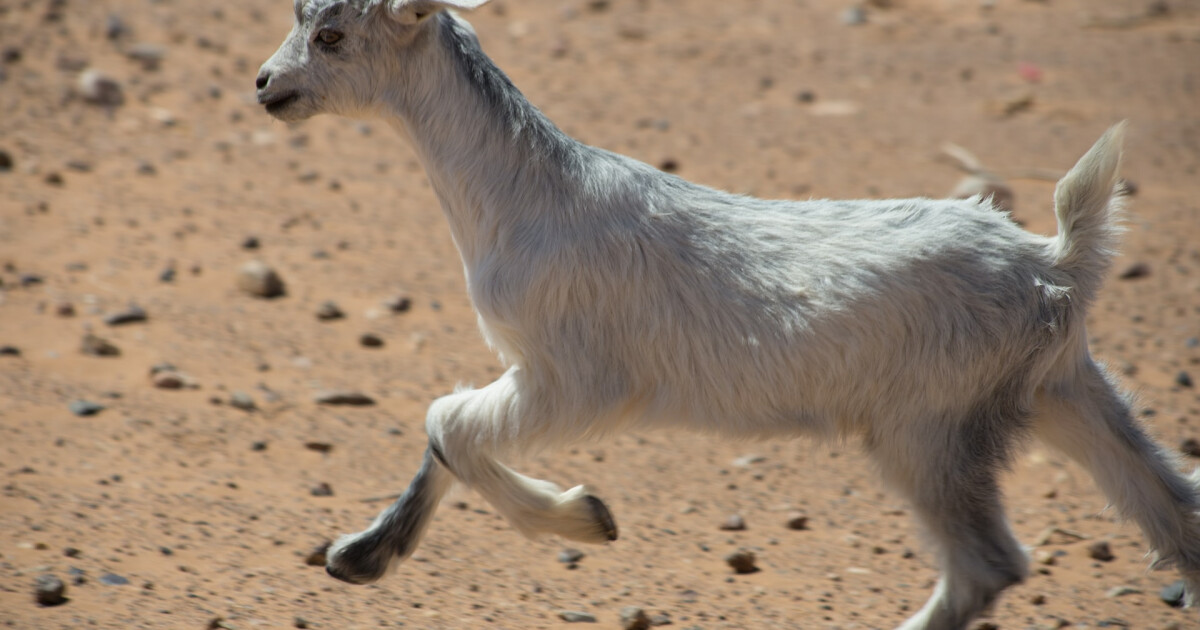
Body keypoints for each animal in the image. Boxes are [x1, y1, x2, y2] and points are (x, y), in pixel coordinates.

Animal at [256, 1, 1200, 628]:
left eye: (331, 34)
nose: (265, 86)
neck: (526, 193)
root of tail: (1052, 263)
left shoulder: (577, 379)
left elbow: (447, 420)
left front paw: (584, 517)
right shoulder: (540, 377)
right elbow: (447, 429)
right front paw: (361, 556)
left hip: (929, 428)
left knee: (986, 566)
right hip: (1063, 389)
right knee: (1172, 506)